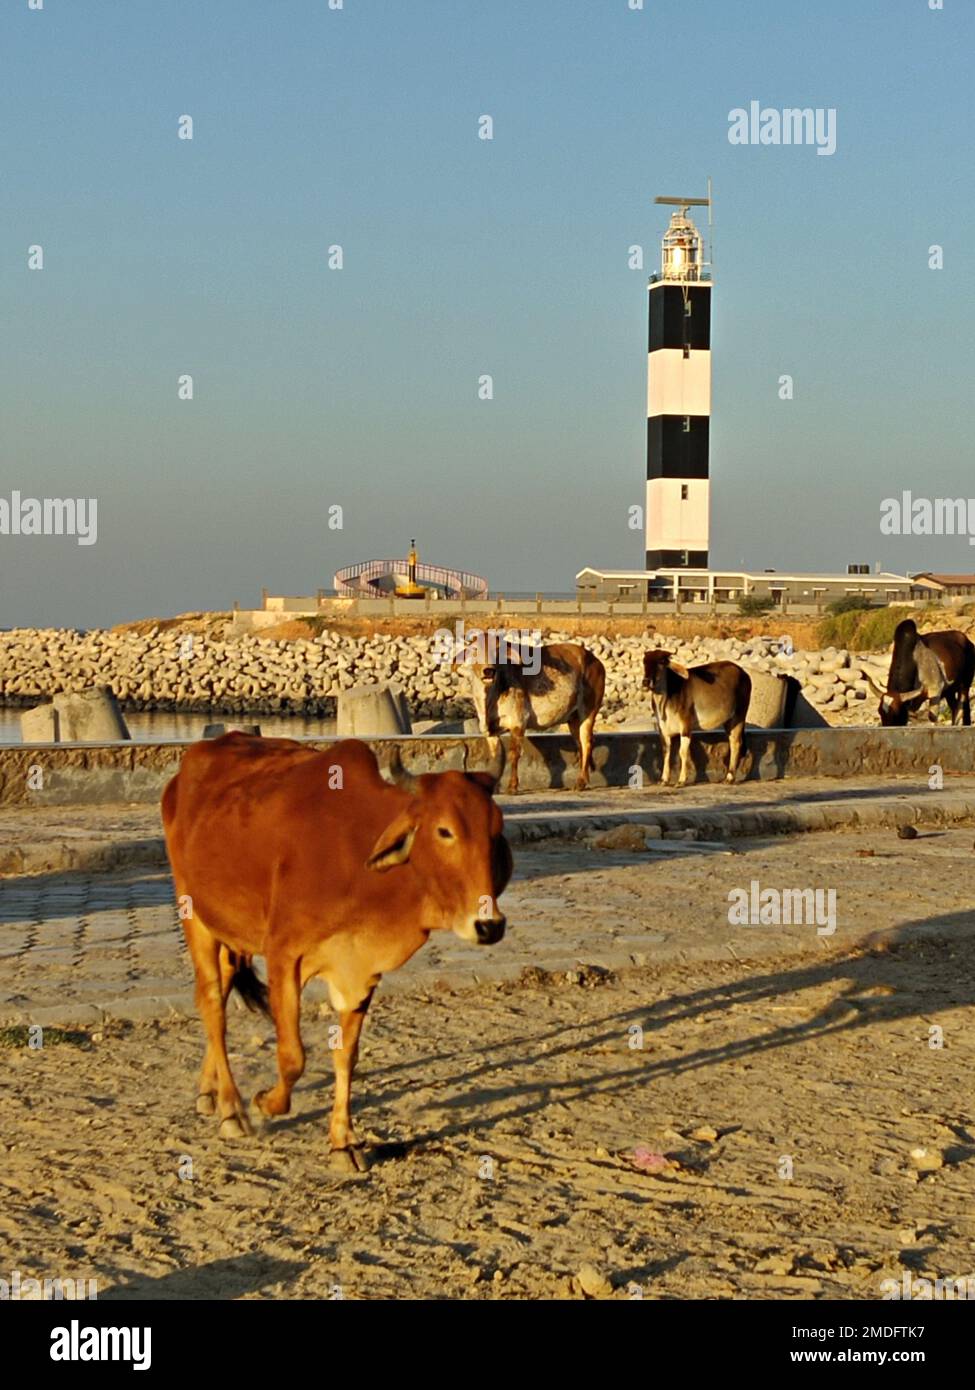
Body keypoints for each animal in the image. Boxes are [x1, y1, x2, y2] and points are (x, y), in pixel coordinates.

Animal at [161, 733, 511, 1171]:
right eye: (444, 831)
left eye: (495, 830)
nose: (489, 925)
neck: (355, 859)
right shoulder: (283, 955)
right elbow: (292, 1057)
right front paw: (265, 1103)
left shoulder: (360, 969)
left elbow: (347, 1055)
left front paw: (342, 1143)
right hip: (194, 915)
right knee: (211, 1002)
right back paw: (231, 1109)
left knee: (222, 990)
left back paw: (208, 1091)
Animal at [463, 637, 606, 794]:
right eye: (475, 650)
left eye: (498, 649)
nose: (489, 671)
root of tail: (596, 661)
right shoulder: (490, 732)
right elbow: (495, 758)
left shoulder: (518, 722)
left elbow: (514, 754)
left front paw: (512, 787)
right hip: (573, 720)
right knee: (580, 745)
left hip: (588, 711)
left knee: (587, 743)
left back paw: (580, 783)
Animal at [642, 650, 752, 787]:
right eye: (644, 661)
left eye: (661, 662)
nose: (646, 682)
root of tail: (743, 672)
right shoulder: (663, 729)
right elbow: (666, 752)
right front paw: (664, 780)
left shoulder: (686, 726)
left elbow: (683, 752)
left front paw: (681, 781)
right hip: (729, 721)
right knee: (733, 742)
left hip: (739, 715)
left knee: (736, 743)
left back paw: (730, 778)